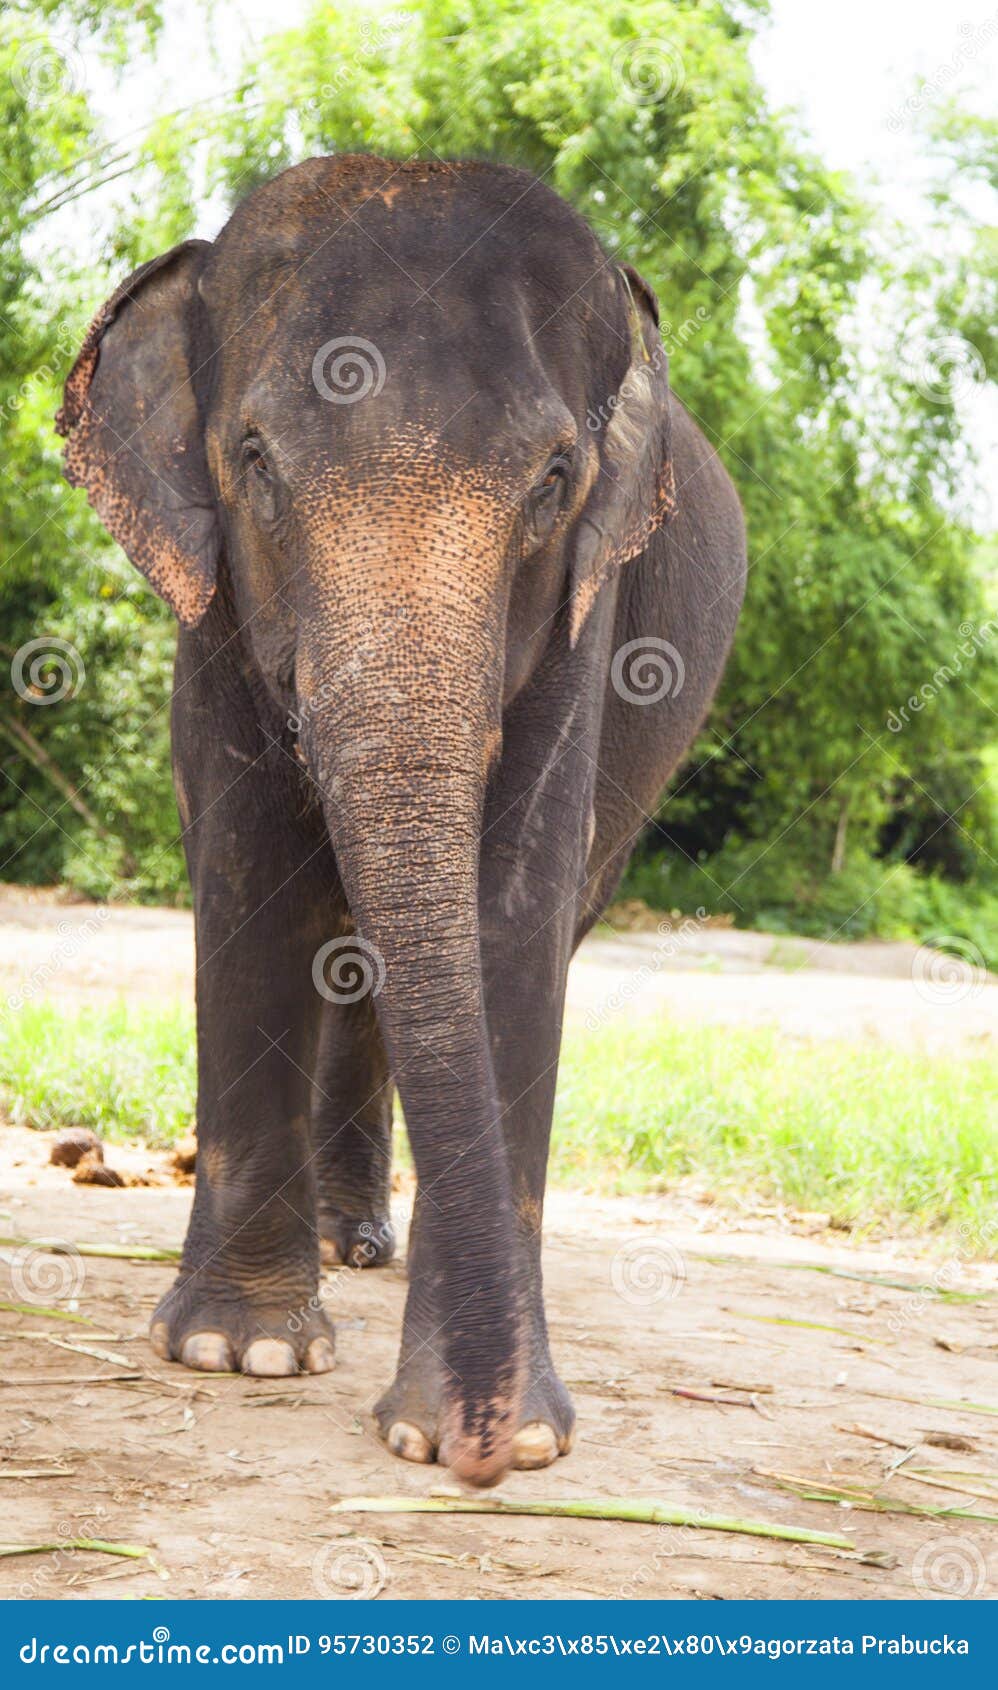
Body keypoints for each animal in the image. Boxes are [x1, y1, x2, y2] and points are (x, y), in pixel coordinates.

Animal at [56, 154, 745, 1487]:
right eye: (254, 457)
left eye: (552, 480)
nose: (477, 1452)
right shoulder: (212, 596)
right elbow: (252, 872)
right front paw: (241, 1352)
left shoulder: (586, 610)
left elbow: (511, 911)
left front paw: (506, 1429)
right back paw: (341, 1247)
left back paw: (373, 1244)